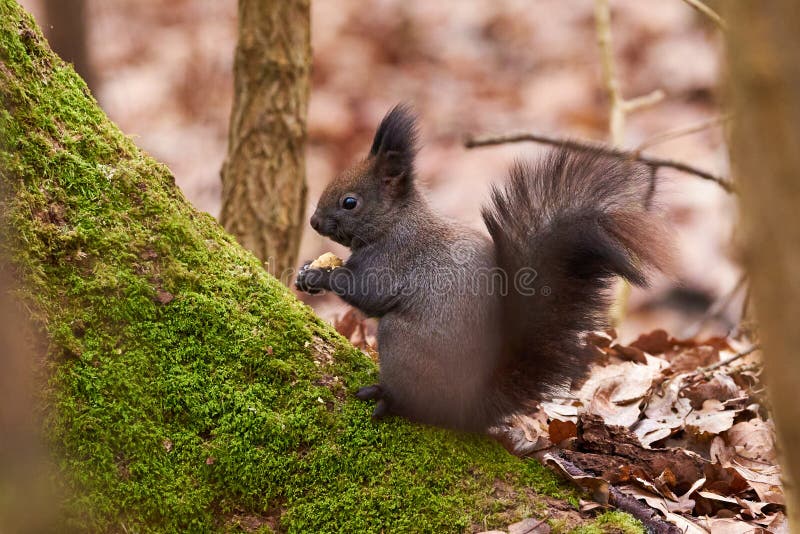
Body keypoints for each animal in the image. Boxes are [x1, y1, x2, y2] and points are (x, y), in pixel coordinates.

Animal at [296, 104, 672, 432]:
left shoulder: (392, 259)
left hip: (403, 345)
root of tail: (469, 405)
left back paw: (389, 398)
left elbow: (367, 293)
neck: (394, 222)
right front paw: (304, 270)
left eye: (350, 202)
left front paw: (320, 275)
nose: (313, 222)